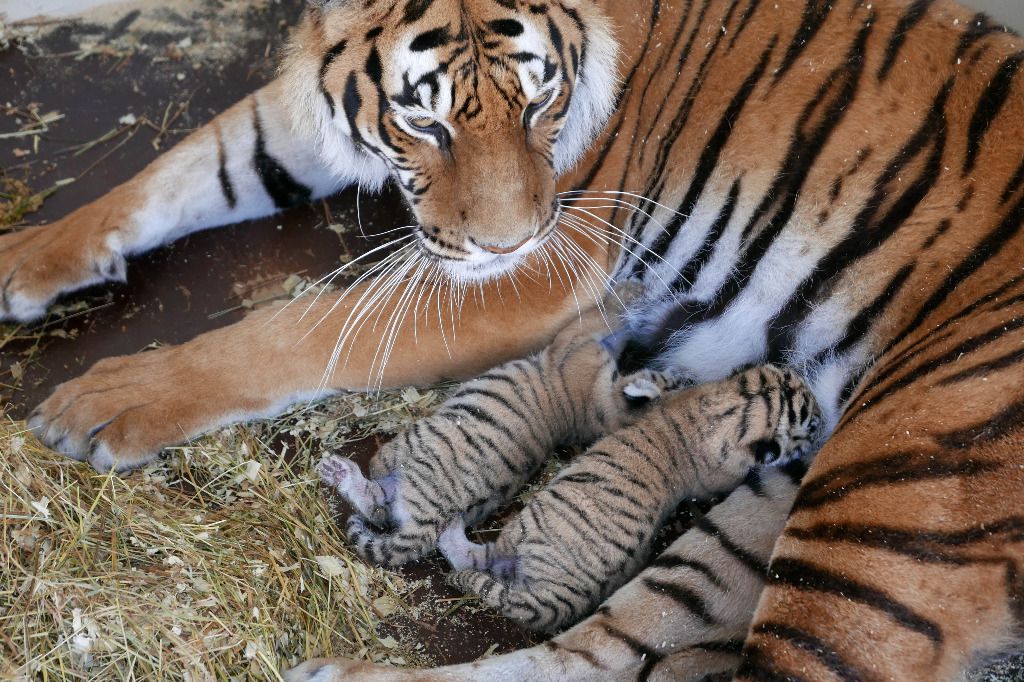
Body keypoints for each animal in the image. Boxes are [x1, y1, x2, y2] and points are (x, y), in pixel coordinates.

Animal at [439, 364, 821, 632]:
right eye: (811, 420)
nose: (822, 421)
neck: (736, 402)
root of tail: (553, 600)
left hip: (522, 527)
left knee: (476, 556)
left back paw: (451, 528)